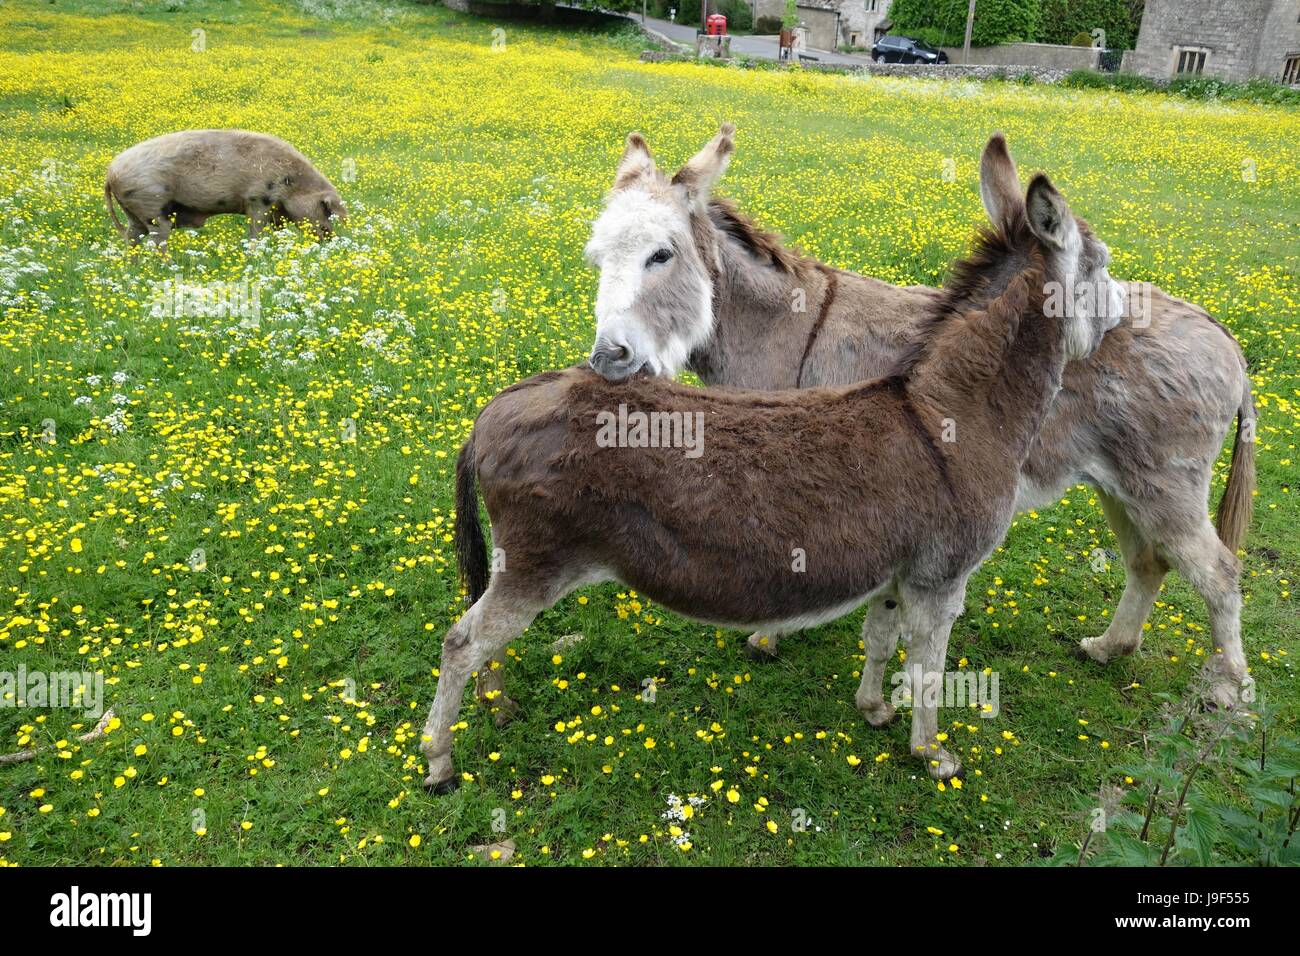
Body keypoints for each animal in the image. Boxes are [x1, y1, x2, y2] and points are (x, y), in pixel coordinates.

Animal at [104, 129, 347, 247]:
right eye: (326, 209)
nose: (331, 238)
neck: (292, 182)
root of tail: (111, 172)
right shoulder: (258, 199)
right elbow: (256, 232)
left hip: (133, 210)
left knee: (132, 236)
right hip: (151, 206)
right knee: (157, 240)